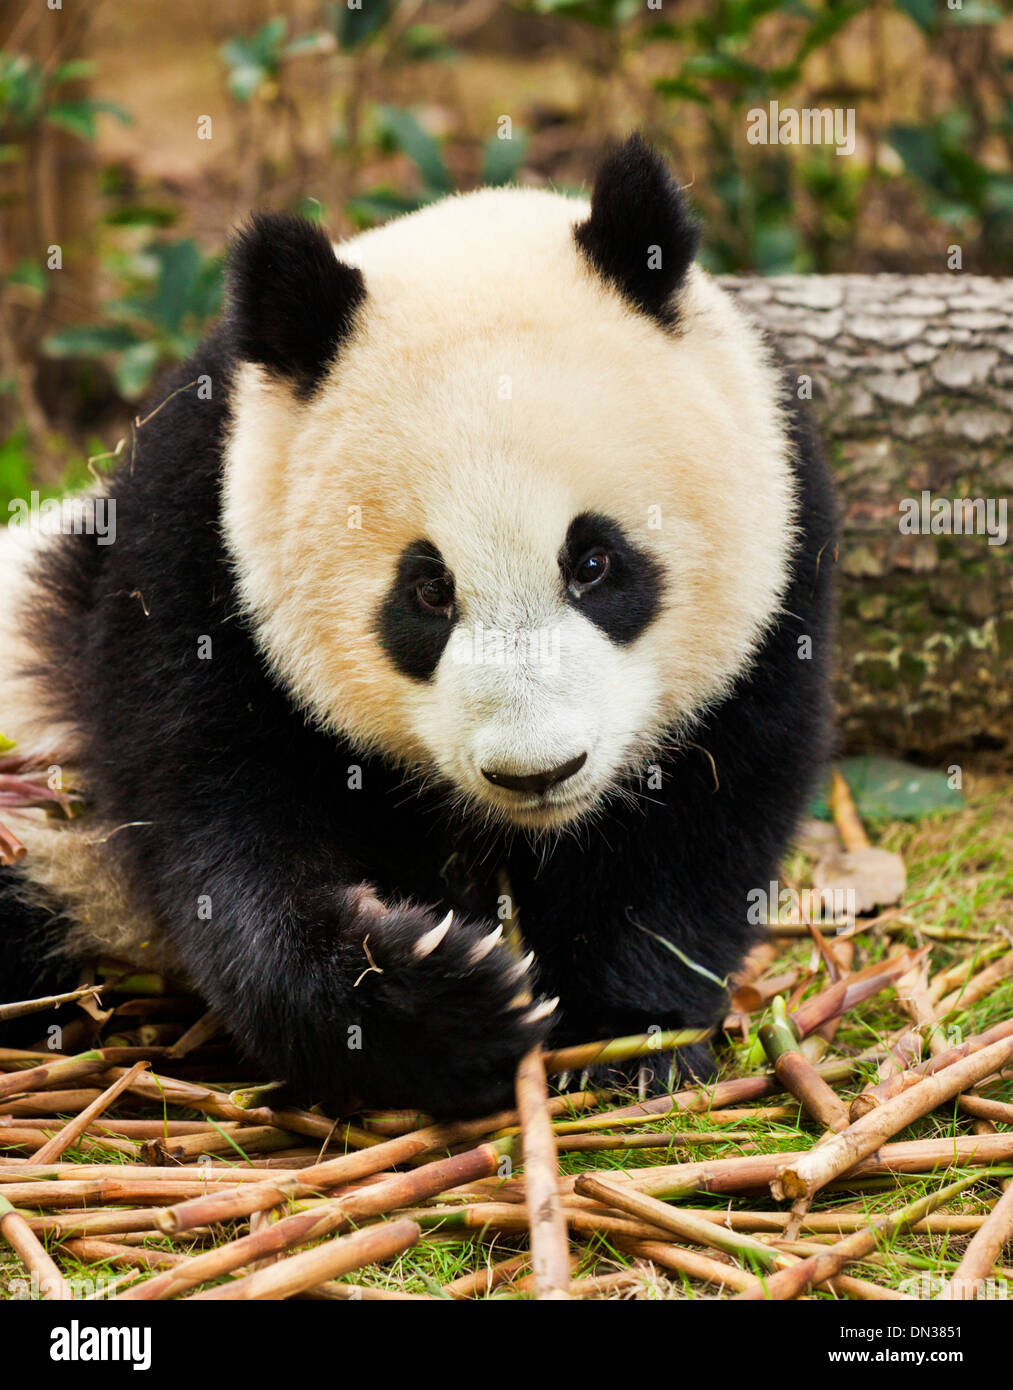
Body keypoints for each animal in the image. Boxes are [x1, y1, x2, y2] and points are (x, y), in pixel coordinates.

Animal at [0, 135, 835, 1118]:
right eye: (427, 592)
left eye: (594, 563)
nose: (537, 771)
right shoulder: (195, 574)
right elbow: (215, 841)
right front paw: (445, 1001)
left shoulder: (782, 570)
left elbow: (706, 817)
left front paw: (632, 1038)